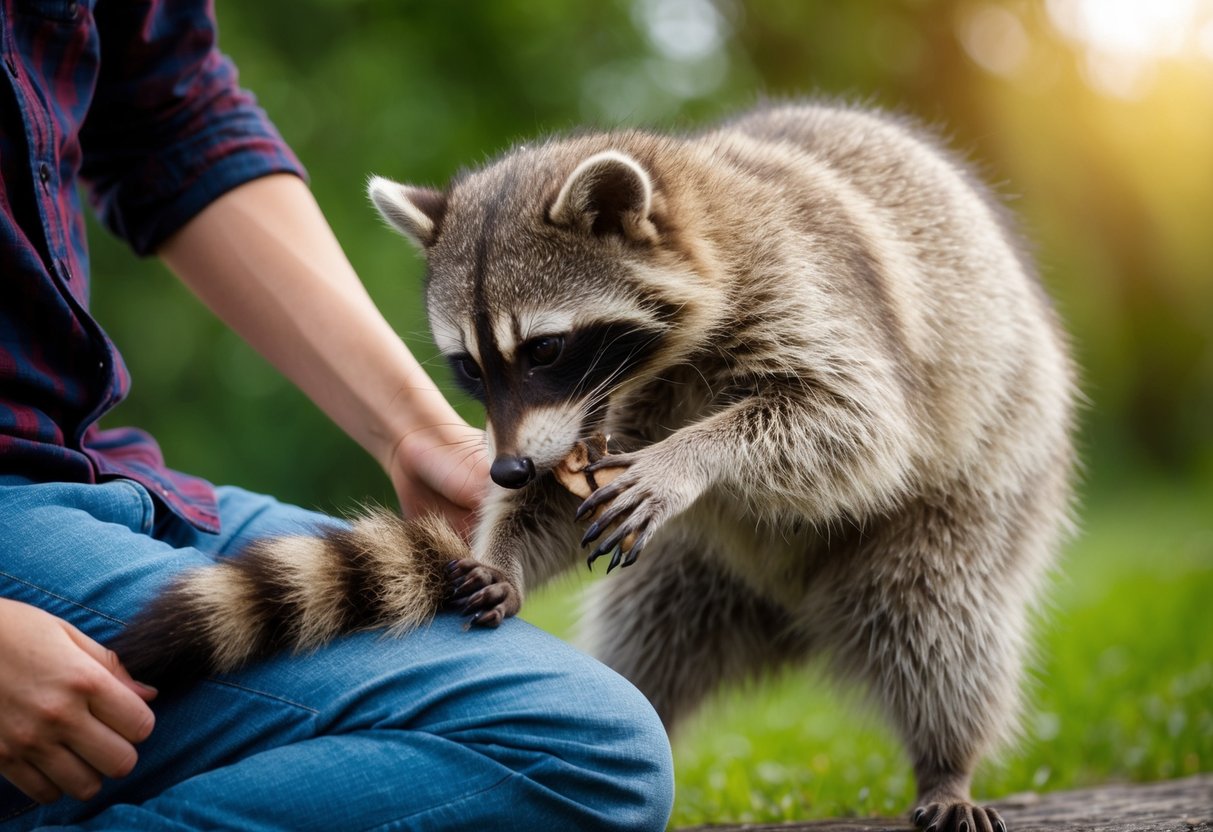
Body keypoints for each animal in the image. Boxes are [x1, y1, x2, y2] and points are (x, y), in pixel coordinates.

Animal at [118, 101, 1076, 832]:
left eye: (544, 348)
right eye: (469, 367)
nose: (503, 473)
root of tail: (792, 603)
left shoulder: (810, 292)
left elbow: (853, 425)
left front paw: (691, 456)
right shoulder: (574, 422)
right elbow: (555, 495)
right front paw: (502, 549)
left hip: (986, 486)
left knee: (939, 619)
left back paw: (946, 756)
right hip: (691, 570)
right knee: (646, 651)